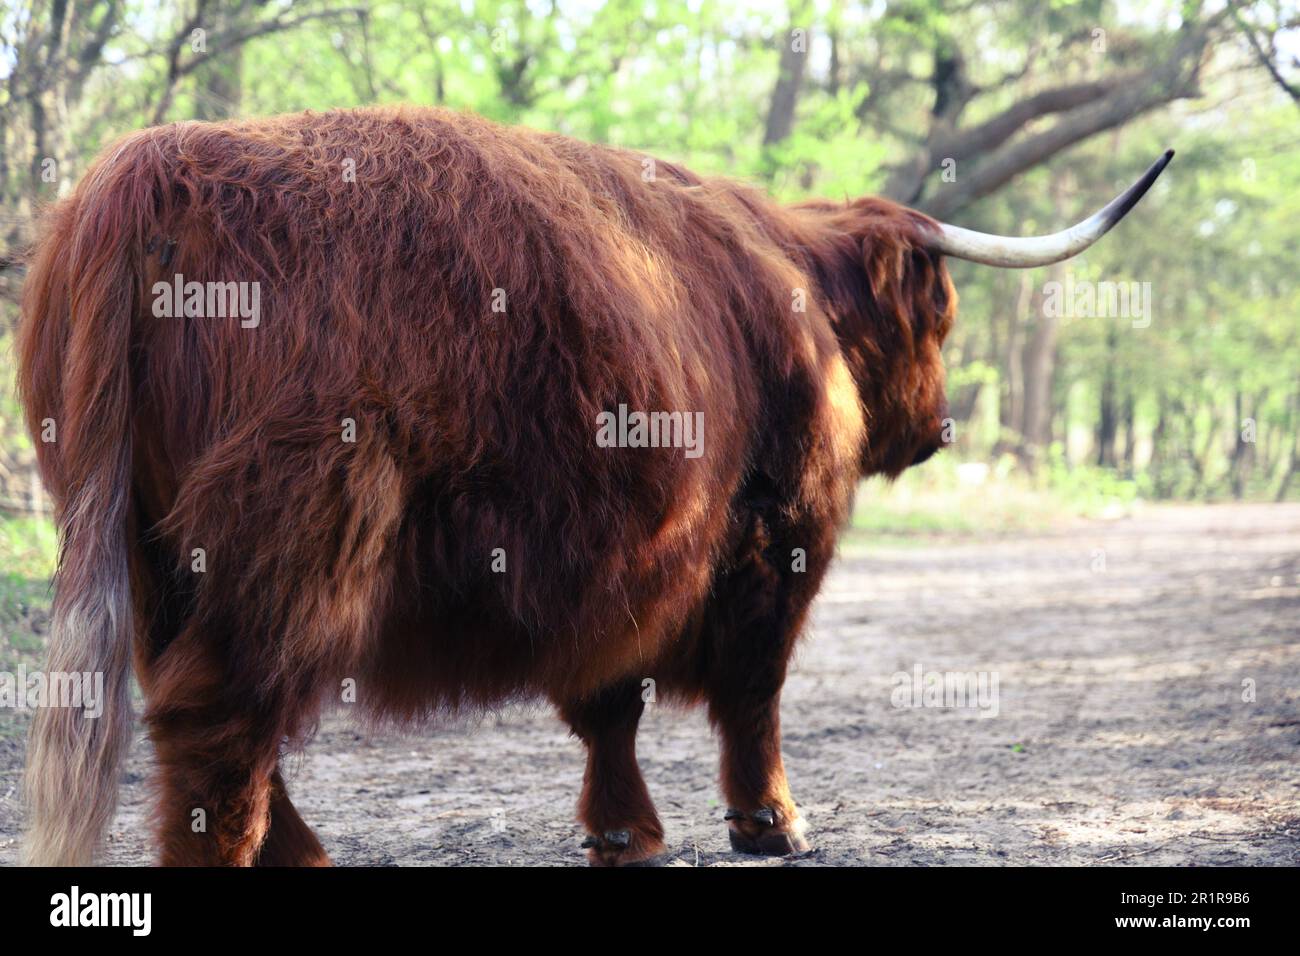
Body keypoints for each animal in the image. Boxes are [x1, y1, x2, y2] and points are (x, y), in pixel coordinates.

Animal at [16, 106, 1171, 866]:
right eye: (941, 315)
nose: (934, 431)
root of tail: (151, 168)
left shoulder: (611, 558)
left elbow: (608, 702)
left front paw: (624, 830)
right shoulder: (768, 536)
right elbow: (753, 691)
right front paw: (770, 822)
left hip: (152, 554)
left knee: (211, 718)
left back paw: (304, 851)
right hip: (288, 539)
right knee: (217, 723)